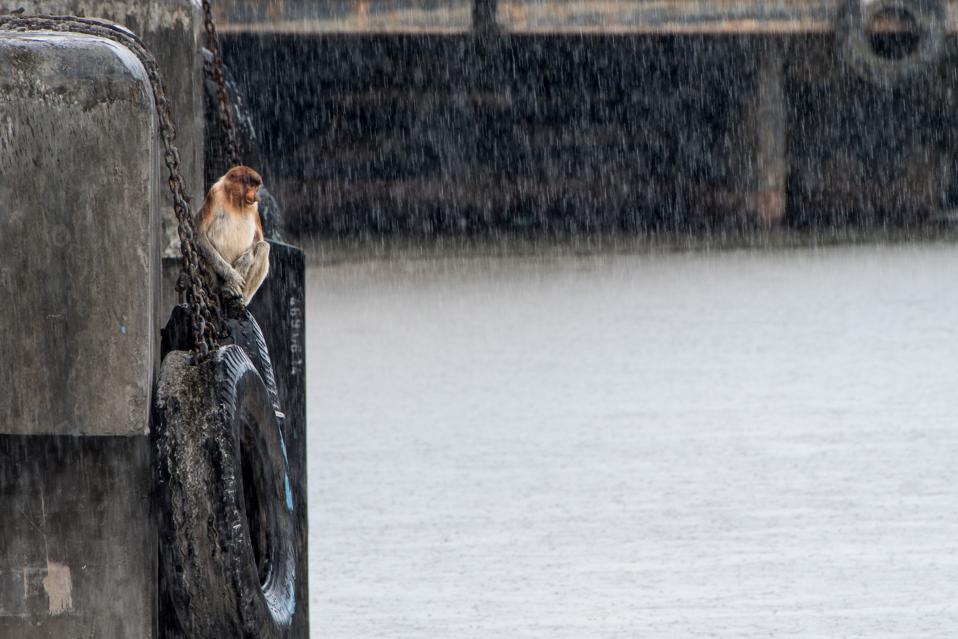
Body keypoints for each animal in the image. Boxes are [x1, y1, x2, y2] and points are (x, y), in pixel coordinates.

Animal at [195, 166, 270, 306]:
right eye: (251, 185)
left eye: (256, 187)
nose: (256, 196)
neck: (235, 201)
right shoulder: (214, 194)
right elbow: (199, 235)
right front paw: (232, 276)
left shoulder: (254, 207)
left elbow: (258, 239)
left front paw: (244, 262)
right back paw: (224, 290)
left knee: (264, 247)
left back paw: (239, 297)